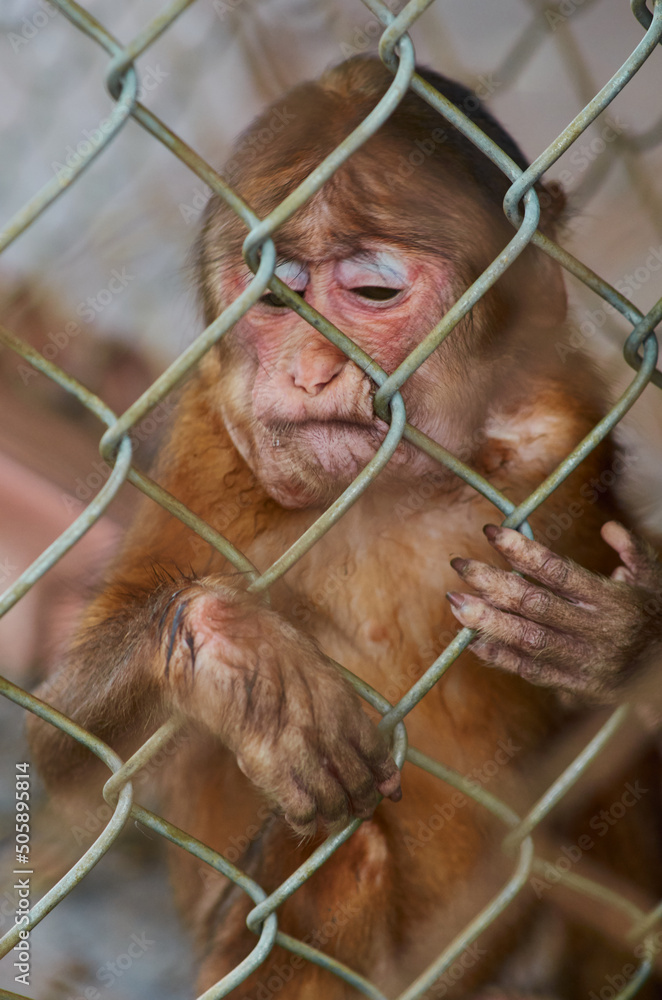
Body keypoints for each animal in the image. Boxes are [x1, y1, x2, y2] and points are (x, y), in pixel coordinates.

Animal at [27, 57, 662, 998]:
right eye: (273, 295)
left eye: (372, 292)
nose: (311, 365)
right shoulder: (210, 449)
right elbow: (68, 756)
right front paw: (243, 666)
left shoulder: (561, 427)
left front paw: (621, 639)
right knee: (342, 851)